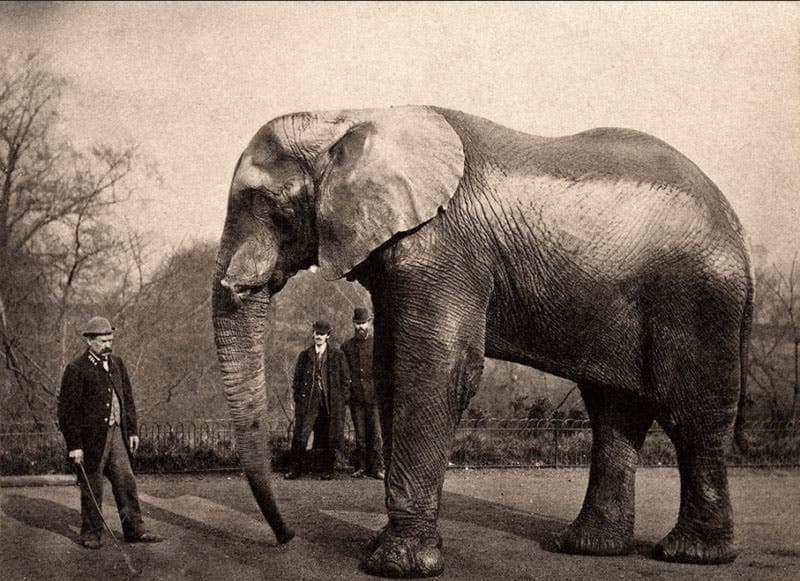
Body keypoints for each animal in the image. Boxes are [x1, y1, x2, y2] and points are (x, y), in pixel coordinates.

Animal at [212, 106, 753, 578]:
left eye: (265, 204)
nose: (287, 538)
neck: (347, 116)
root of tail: (739, 227)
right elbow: (391, 369)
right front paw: (386, 550)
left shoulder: (445, 246)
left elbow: (439, 368)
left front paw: (394, 566)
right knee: (615, 411)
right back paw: (588, 547)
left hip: (697, 296)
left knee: (689, 411)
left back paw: (690, 554)